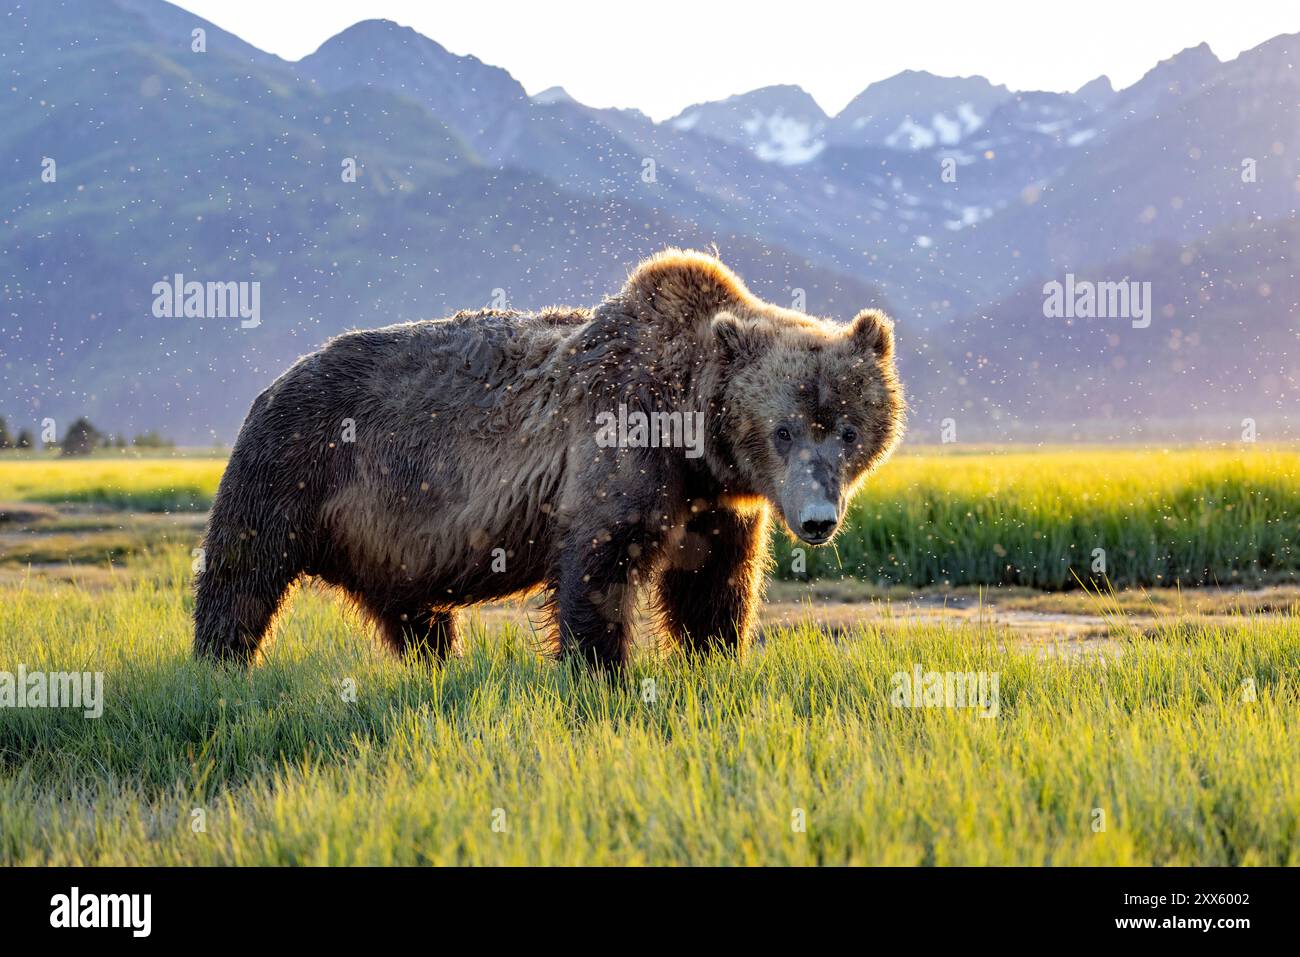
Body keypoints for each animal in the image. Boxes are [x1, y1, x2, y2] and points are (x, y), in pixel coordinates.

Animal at [193, 249, 904, 671]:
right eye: (783, 431)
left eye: (847, 429)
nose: (817, 519)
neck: (690, 430)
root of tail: (274, 383)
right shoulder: (621, 441)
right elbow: (599, 564)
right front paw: (600, 675)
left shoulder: (719, 502)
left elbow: (714, 583)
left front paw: (714, 660)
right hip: (295, 465)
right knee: (242, 572)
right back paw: (220, 663)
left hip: (385, 533)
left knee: (416, 615)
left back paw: (436, 665)